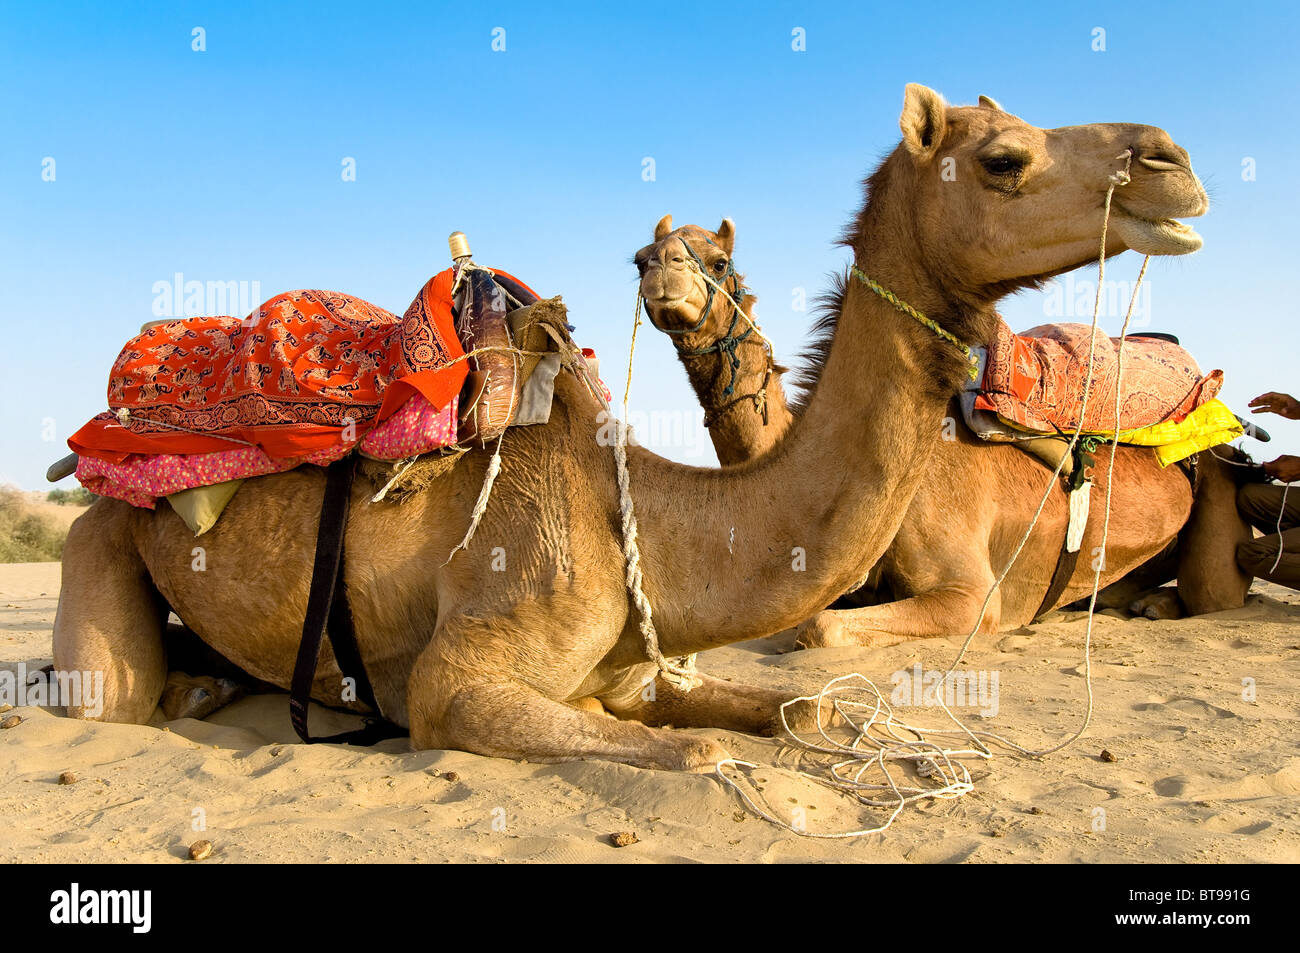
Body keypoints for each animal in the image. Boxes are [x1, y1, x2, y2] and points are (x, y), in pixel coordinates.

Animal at [636, 207, 1251, 650]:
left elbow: (818, 628)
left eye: (718, 262)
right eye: (638, 259)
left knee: (1213, 592)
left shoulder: (972, 593)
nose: (660, 266)